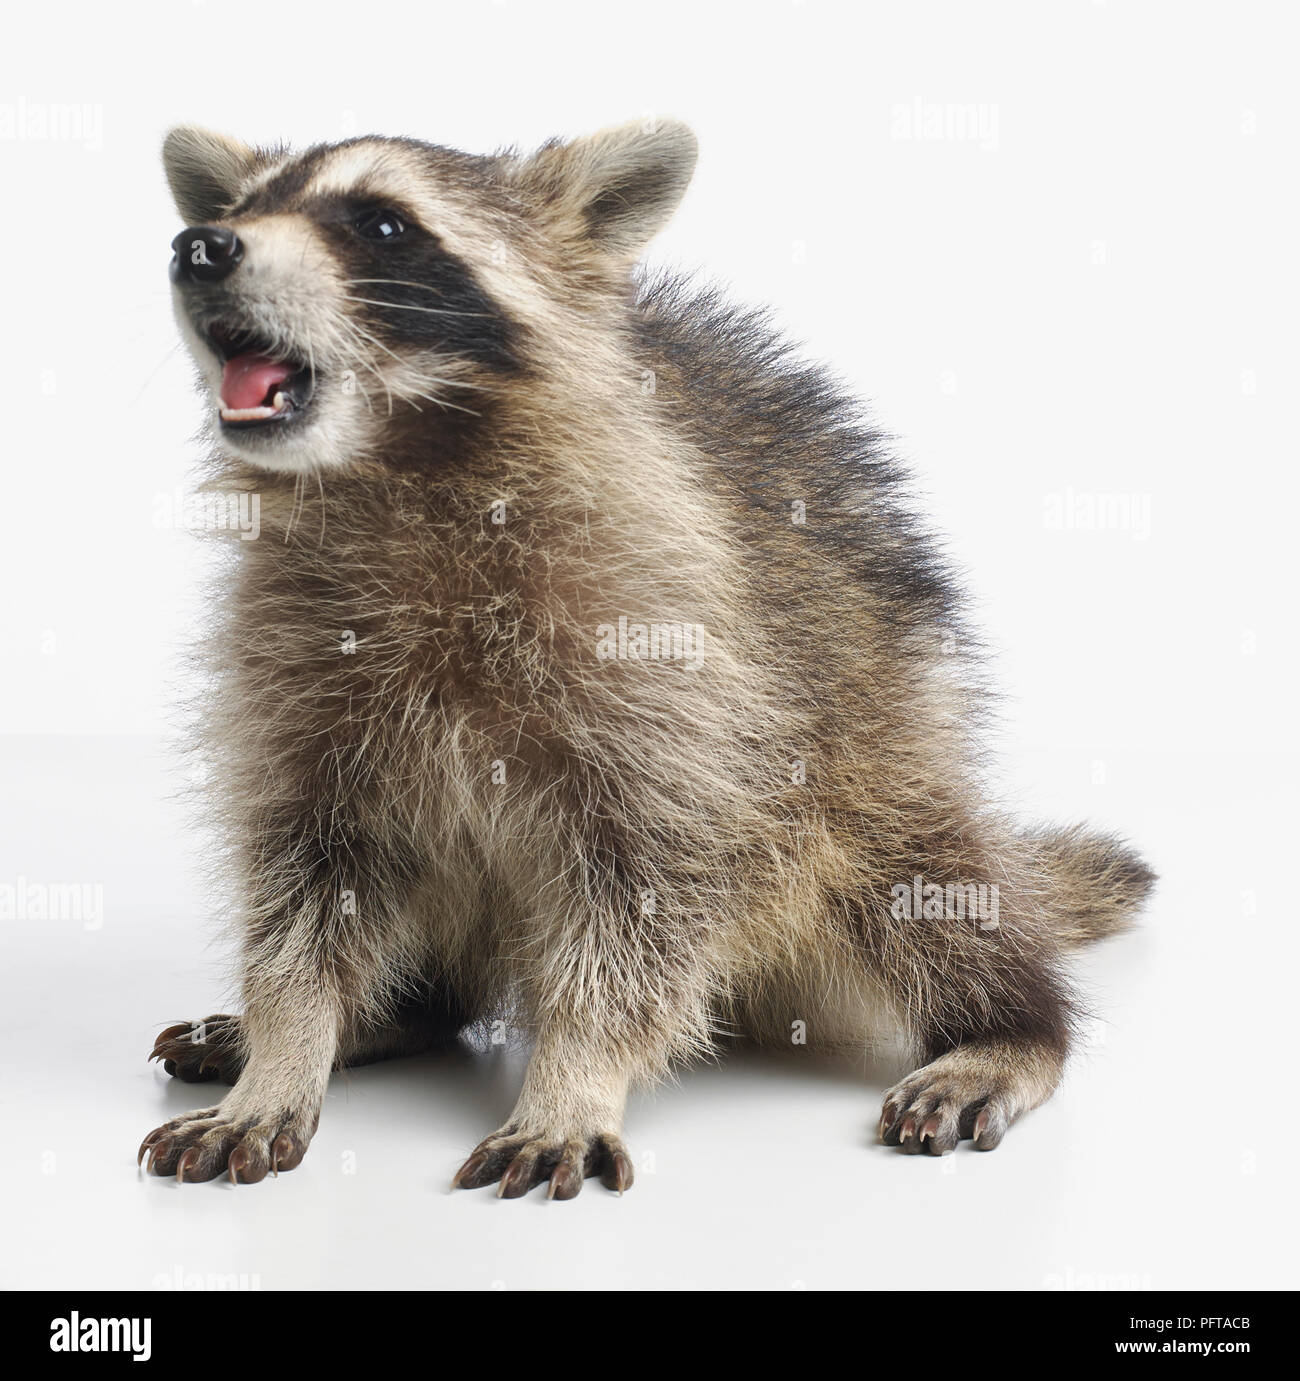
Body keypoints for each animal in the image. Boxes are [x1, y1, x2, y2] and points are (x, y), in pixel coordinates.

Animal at [140, 120, 1154, 1197]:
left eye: (382, 224)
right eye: (241, 209)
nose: (201, 245)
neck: (396, 467)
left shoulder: (673, 654)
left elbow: (650, 886)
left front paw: (575, 1071)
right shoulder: (294, 658)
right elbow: (299, 875)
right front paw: (289, 1037)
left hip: (880, 734)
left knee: (918, 883)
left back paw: (1010, 1027)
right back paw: (384, 1016)